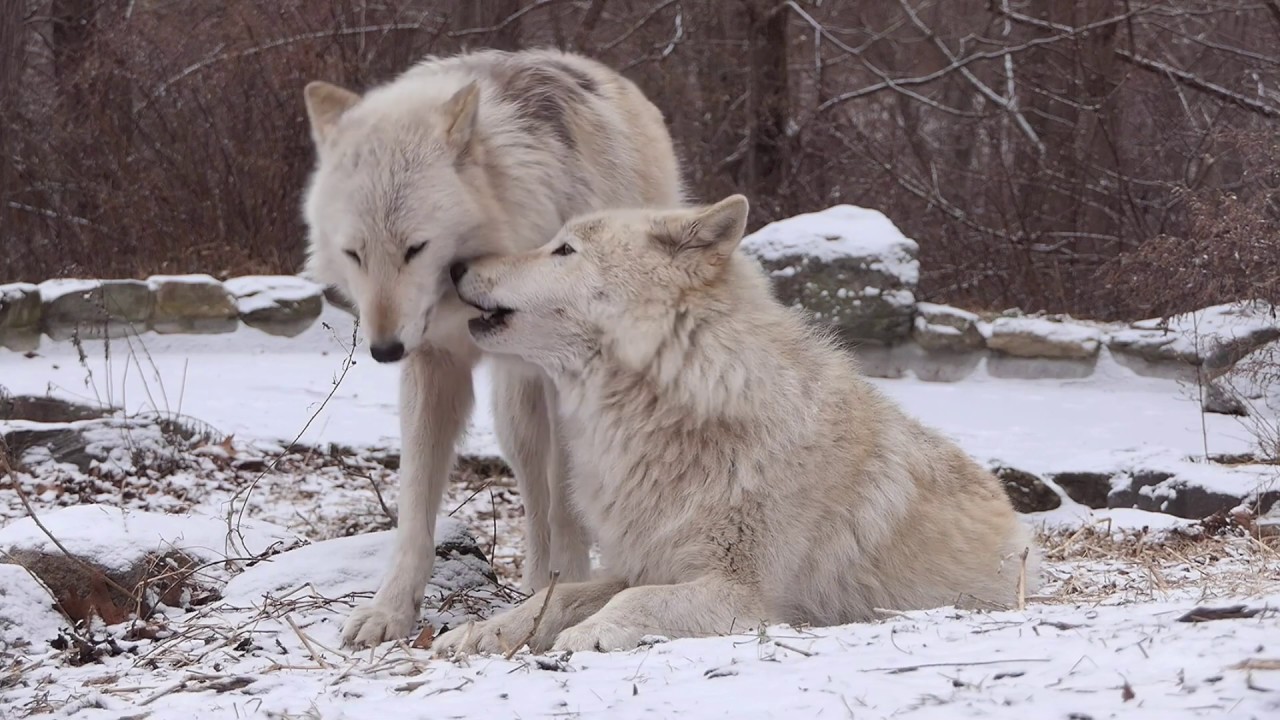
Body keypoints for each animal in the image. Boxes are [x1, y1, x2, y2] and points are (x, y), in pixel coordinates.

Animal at [300, 49, 684, 647]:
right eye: (354, 253)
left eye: (416, 249)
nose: (385, 349)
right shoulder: (433, 366)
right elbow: (414, 509)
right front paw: (389, 612)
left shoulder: (567, 384)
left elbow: (569, 506)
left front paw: (560, 596)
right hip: (514, 422)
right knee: (533, 493)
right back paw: (533, 580)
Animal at [434, 195, 1040, 654]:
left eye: (564, 249)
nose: (456, 267)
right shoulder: (646, 563)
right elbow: (558, 596)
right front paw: (483, 631)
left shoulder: (742, 592)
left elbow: (630, 601)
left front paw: (591, 633)